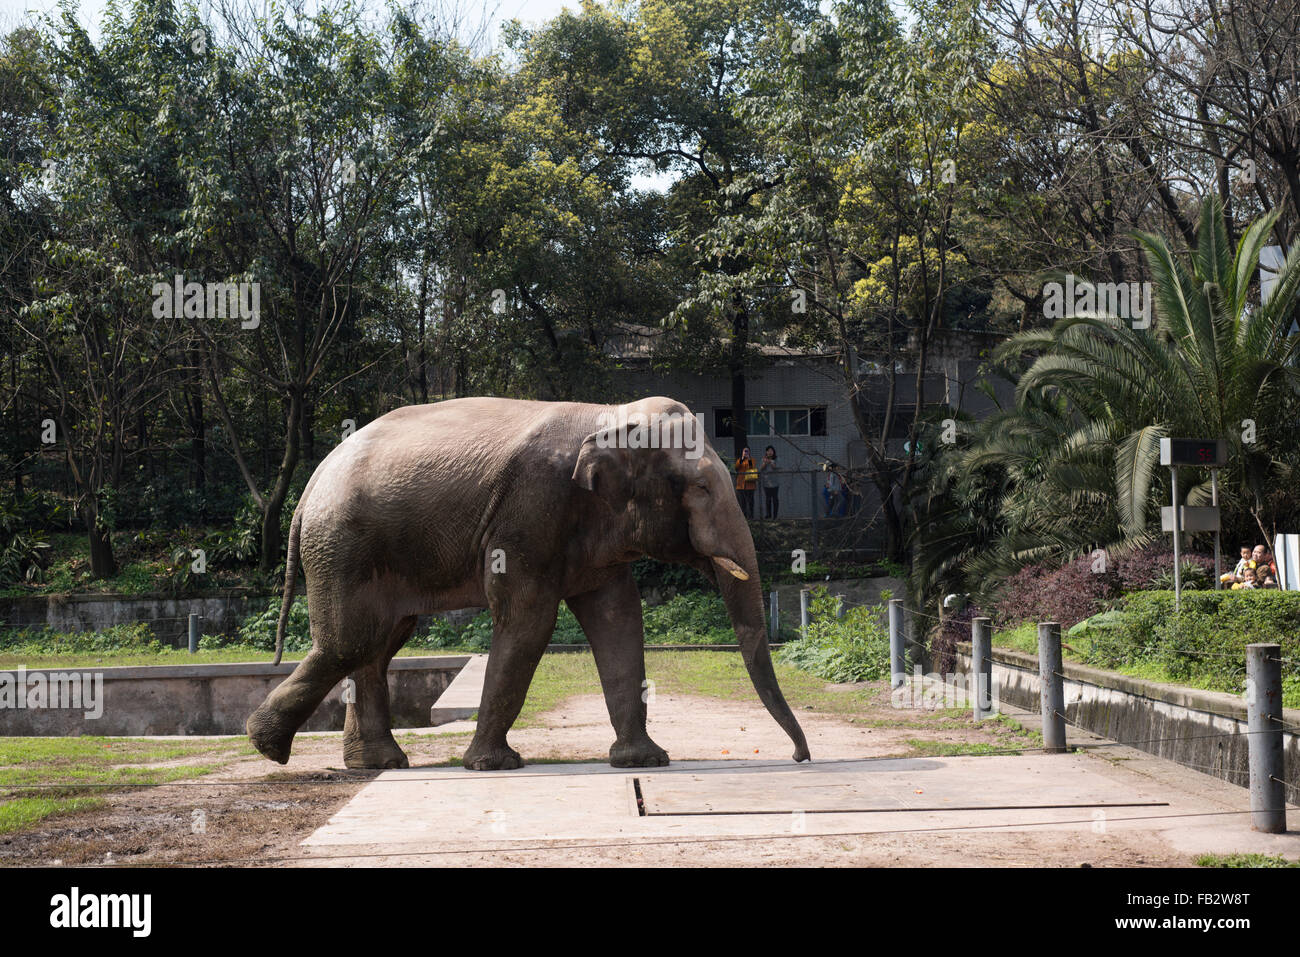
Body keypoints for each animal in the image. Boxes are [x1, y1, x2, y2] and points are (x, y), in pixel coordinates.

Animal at [245, 395, 811, 771]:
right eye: (696, 487)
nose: (799, 757)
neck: (607, 414)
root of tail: (311, 485)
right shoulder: (529, 512)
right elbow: (529, 621)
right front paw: (494, 766)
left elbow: (619, 620)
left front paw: (644, 762)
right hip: (342, 546)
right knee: (351, 641)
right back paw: (268, 747)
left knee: (379, 644)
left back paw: (377, 764)